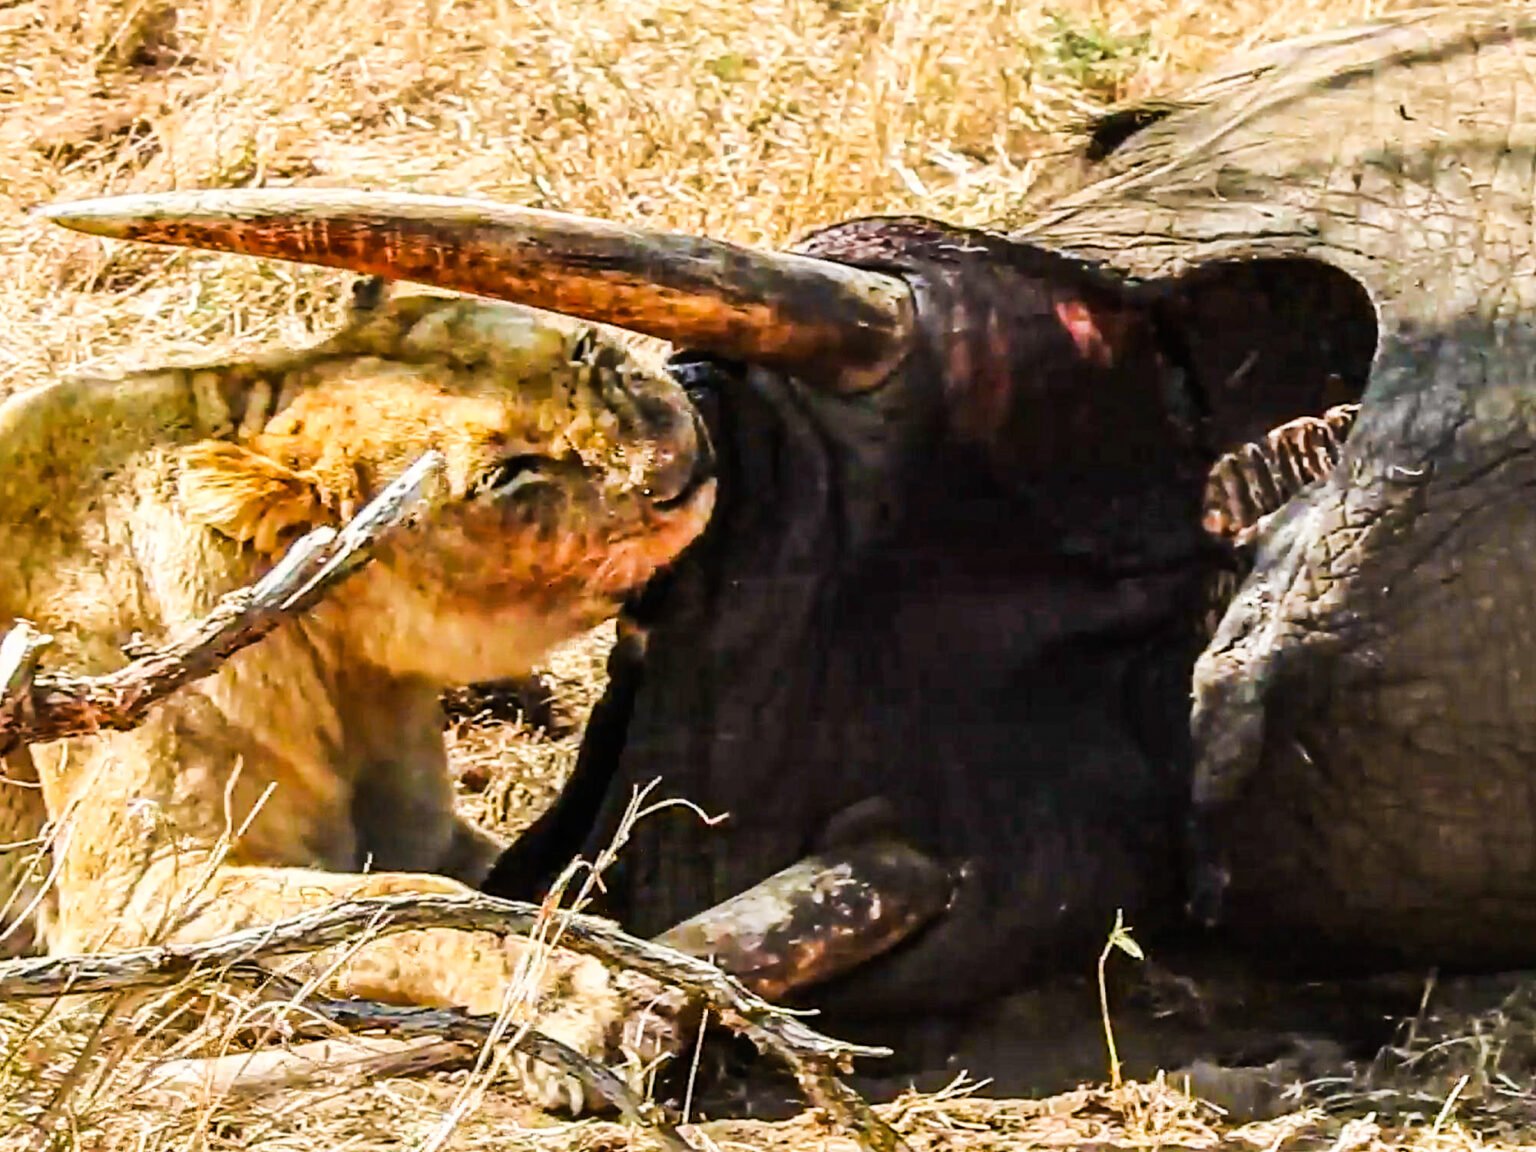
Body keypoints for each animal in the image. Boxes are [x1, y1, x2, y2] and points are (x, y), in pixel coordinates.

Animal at [0, 280, 715, 1109]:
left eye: (585, 347)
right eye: (510, 473)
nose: (668, 436)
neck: (344, 666)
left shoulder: (427, 826)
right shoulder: (132, 900)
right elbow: (409, 906)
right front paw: (587, 1003)